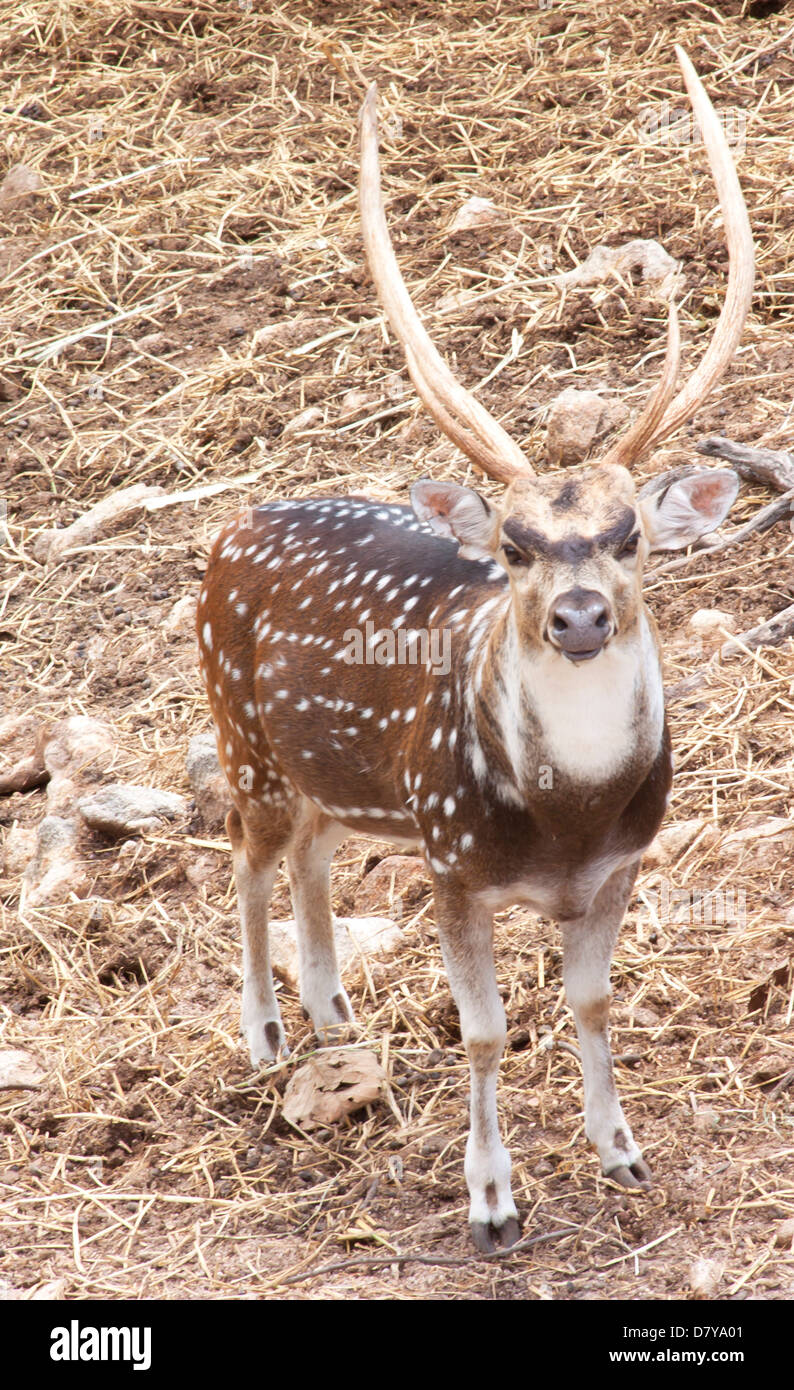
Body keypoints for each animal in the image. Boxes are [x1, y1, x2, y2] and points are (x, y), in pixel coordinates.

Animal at [197, 46, 754, 1252]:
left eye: (630, 534)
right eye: (512, 544)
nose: (579, 615)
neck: (565, 817)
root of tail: (231, 527)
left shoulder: (623, 863)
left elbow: (592, 999)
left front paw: (620, 1151)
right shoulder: (449, 860)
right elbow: (487, 1032)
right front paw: (491, 1201)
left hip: (340, 779)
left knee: (310, 855)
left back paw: (333, 1018)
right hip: (240, 734)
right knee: (247, 856)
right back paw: (266, 1037)